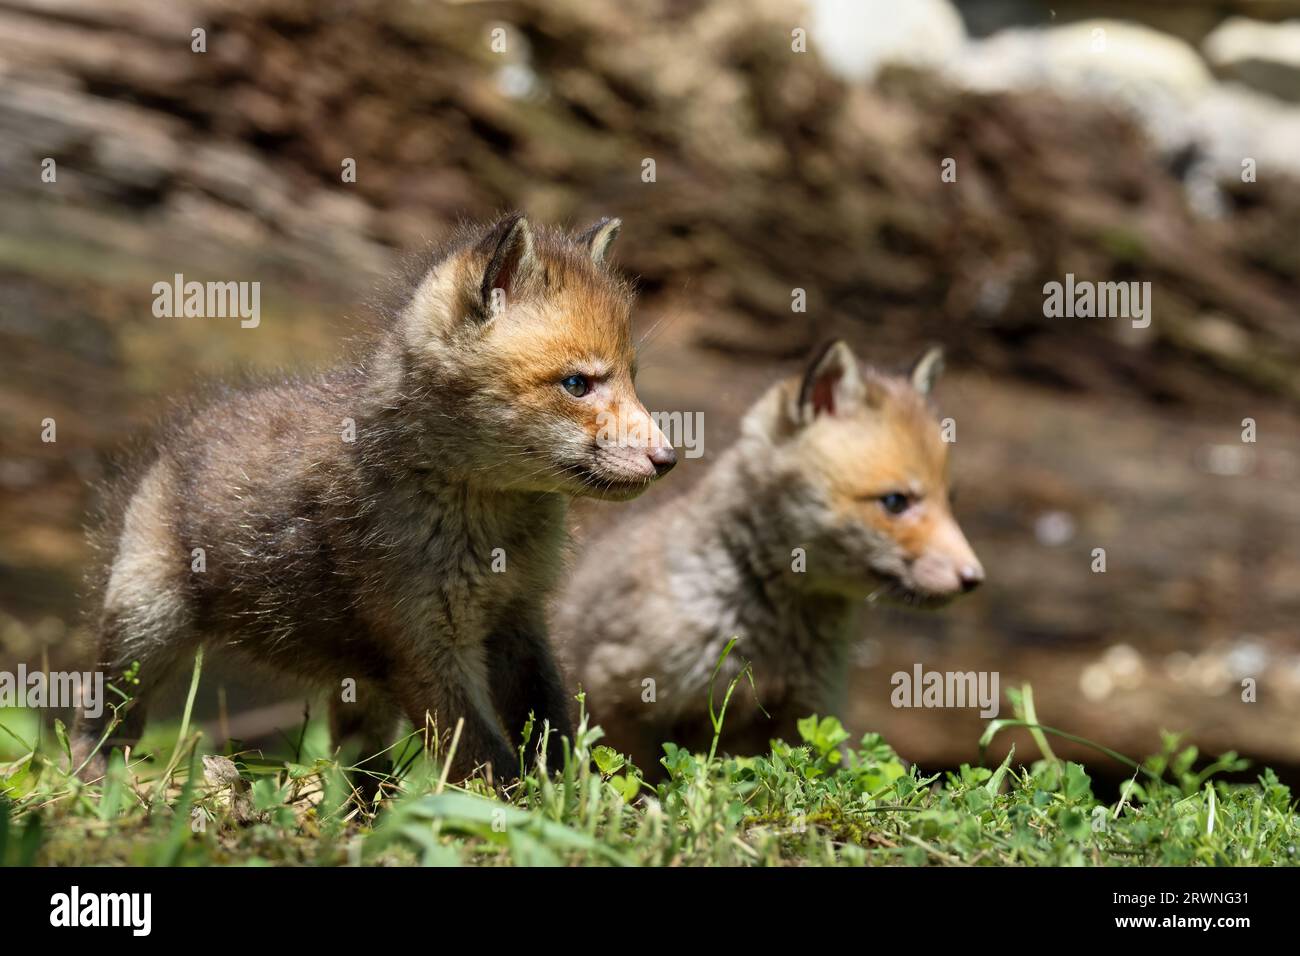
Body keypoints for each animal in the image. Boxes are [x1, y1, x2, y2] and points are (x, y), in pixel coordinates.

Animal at [75, 213, 676, 785]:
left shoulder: (518, 620)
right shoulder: (425, 646)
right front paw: (518, 812)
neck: (486, 519)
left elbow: (551, 731)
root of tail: (187, 429)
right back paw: (95, 779)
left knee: (361, 771)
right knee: (101, 718)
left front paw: (570, 798)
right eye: (577, 384)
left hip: (364, 686)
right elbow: (488, 761)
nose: (668, 459)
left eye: (633, 378)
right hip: (143, 627)